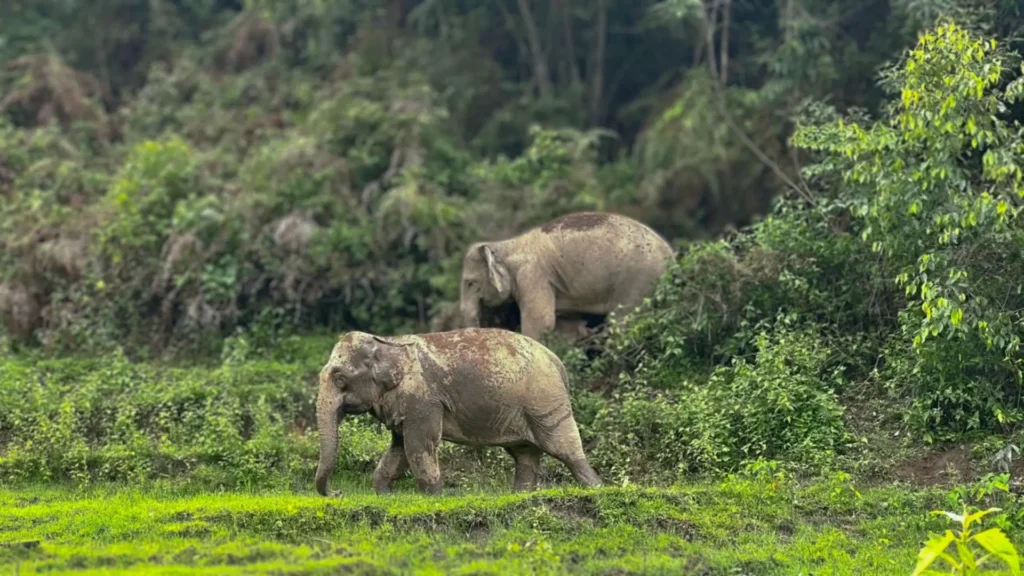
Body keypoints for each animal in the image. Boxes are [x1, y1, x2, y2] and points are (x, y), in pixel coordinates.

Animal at [314, 328, 603, 497]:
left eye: (340, 379)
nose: (338, 493)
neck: (389, 343)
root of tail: (558, 362)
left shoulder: (423, 398)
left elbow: (418, 444)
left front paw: (433, 498)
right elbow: (400, 447)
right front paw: (384, 495)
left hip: (545, 400)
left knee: (563, 447)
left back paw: (596, 489)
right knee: (525, 453)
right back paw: (520, 495)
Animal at [459, 211, 675, 342]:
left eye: (470, 283)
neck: (506, 245)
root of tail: (672, 255)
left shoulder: (533, 275)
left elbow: (541, 322)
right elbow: (567, 326)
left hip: (637, 281)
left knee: (623, 321)